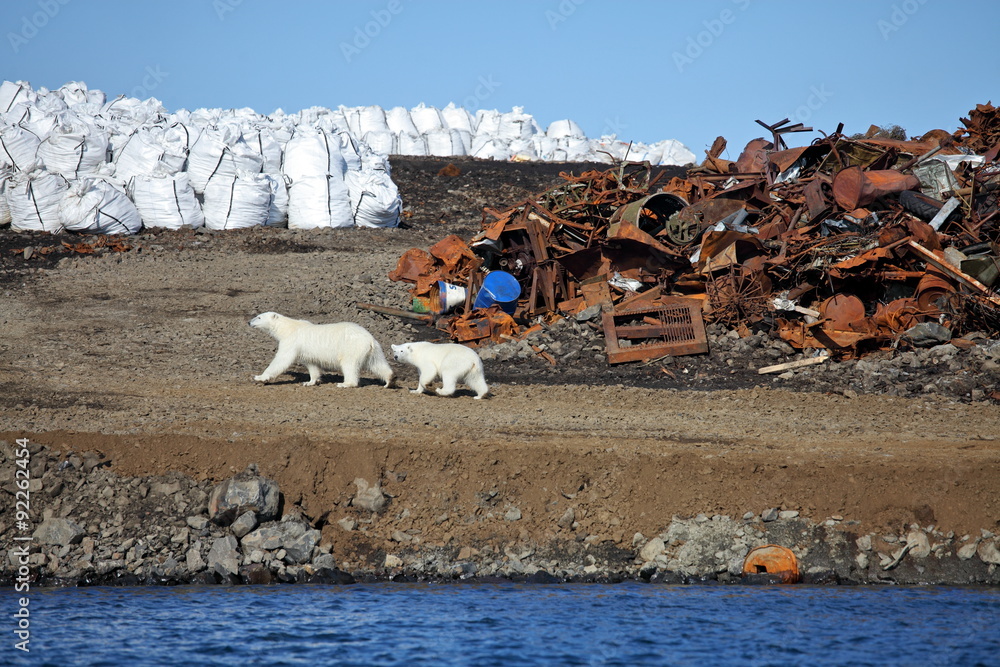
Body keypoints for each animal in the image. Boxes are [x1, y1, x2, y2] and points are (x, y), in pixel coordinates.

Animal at [249, 311, 394, 388]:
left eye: (259, 317)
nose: (249, 322)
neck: (288, 328)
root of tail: (369, 339)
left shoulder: (291, 341)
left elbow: (282, 359)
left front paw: (260, 377)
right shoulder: (306, 351)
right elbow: (312, 364)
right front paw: (310, 382)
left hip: (352, 347)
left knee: (349, 364)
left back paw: (345, 384)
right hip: (374, 350)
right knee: (377, 364)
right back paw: (390, 380)